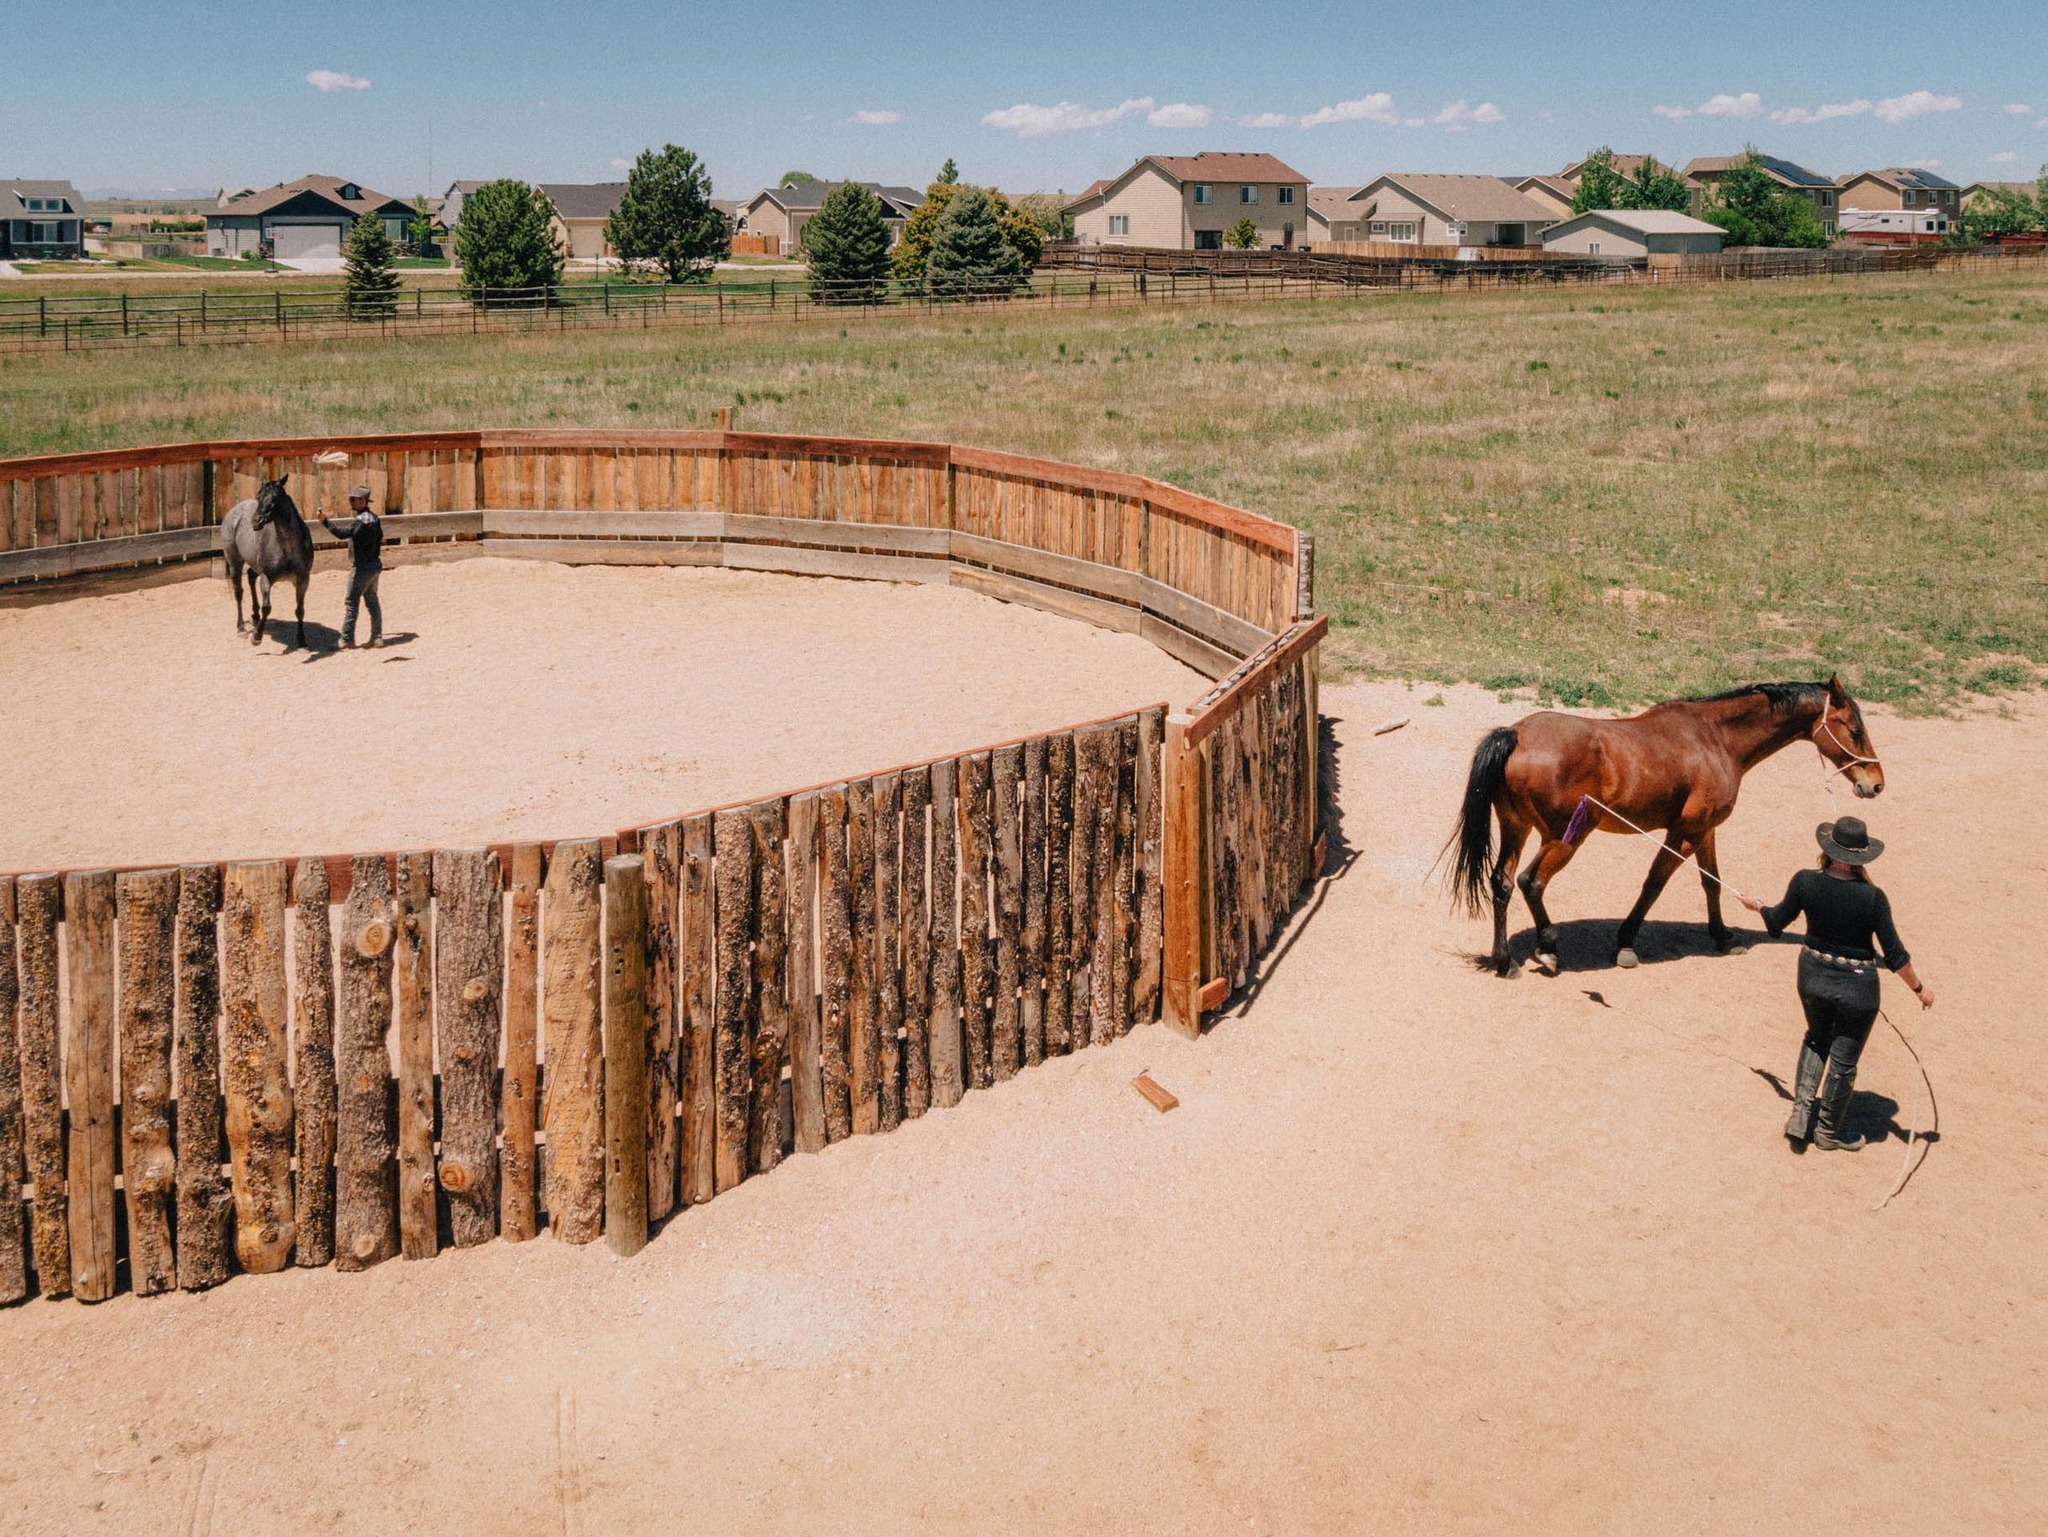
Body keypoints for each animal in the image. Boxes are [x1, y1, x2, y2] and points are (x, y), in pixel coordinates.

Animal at [221, 475, 314, 648]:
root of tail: (233, 512)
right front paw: (257, 637)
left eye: (275, 497)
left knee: (251, 576)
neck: (287, 549)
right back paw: (241, 628)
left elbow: (300, 610)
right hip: (234, 561)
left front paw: (302, 640)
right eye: (258, 497)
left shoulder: (303, 580)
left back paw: (255, 615)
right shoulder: (266, 577)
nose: (255, 521)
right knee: (239, 592)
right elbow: (267, 607)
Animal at [1445, 677, 1884, 977]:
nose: (1876, 783)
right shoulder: (1685, 833)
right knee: (1531, 882)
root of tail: (1516, 734)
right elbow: (1655, 884)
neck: (1715, 739)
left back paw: (1506, 961)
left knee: (1502, 883)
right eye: (1855, 730)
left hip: (1516, 828)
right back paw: (1548, 948)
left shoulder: (1705, 831)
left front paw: (1723, 937)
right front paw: (1625, 944)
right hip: (1565, 837)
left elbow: (1711, 882)